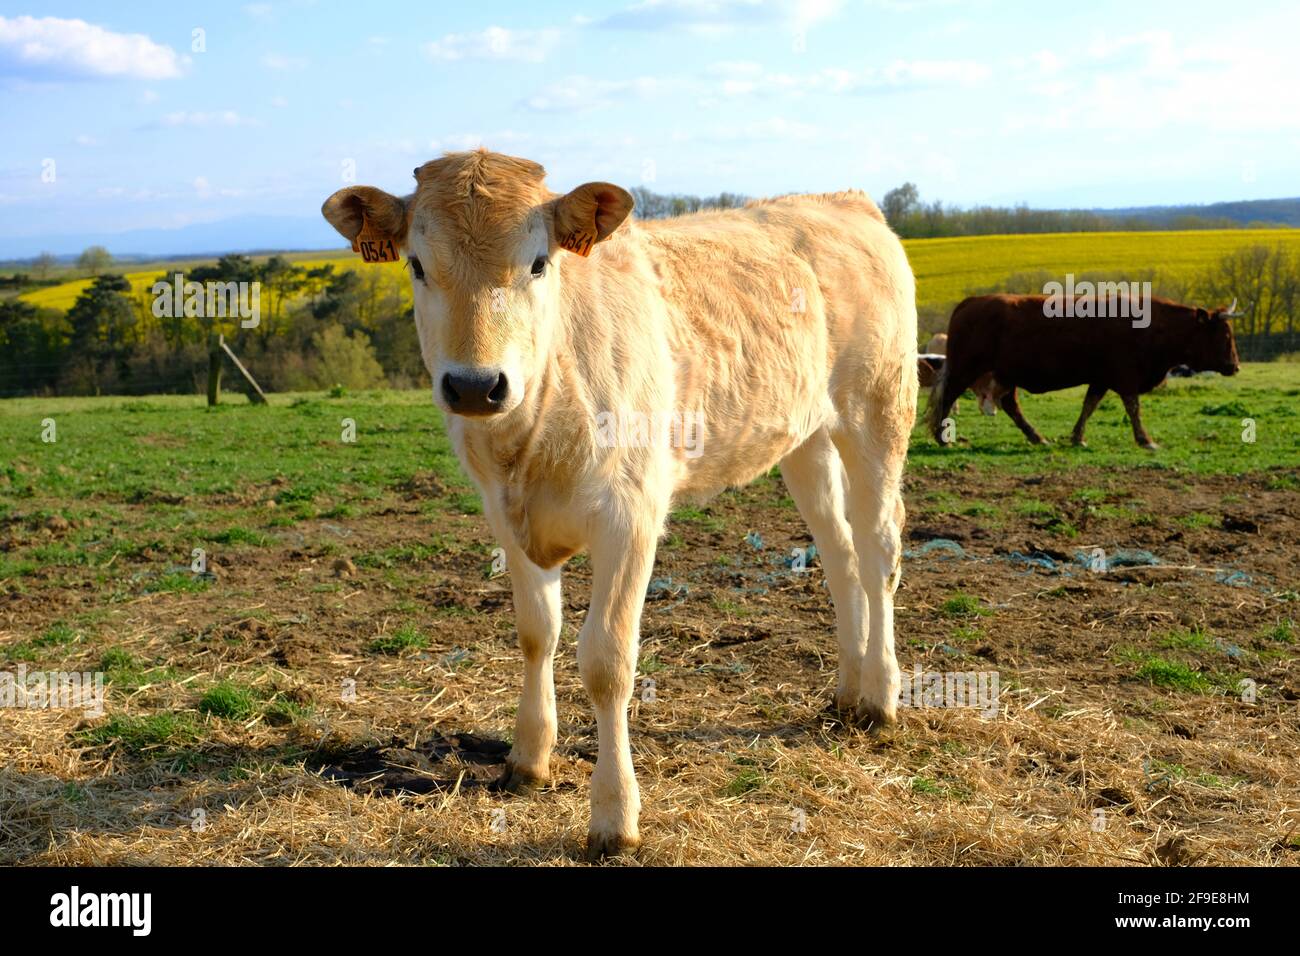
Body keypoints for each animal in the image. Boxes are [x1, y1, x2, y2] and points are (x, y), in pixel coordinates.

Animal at [321, 149, 918, 859]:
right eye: (416, 263)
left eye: (539, 262)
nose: (474, 385)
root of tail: (843, 200)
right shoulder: (504, 515)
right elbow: (536, 633)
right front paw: (528, 758)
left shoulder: (631, 516)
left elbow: (606, 661)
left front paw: (614, 815)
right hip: (805, 438)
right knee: (839, 551)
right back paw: (847, 693)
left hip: (878, 410)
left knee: (879, 549)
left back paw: (880, 698)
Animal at [927, 293, 1240, 449]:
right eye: (1224, 335)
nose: (1234, 366)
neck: (1152, 326)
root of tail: (971, 302)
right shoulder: (1125, 377)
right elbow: (1133, 408)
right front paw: (1145, 440)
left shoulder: (1101, 378)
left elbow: (1089, 405)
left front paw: (1077, 437)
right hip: (967, 368)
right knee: (948, 397)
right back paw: (943, 439)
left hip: (1004, 374)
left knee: (1011, 405)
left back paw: (1037, 437)